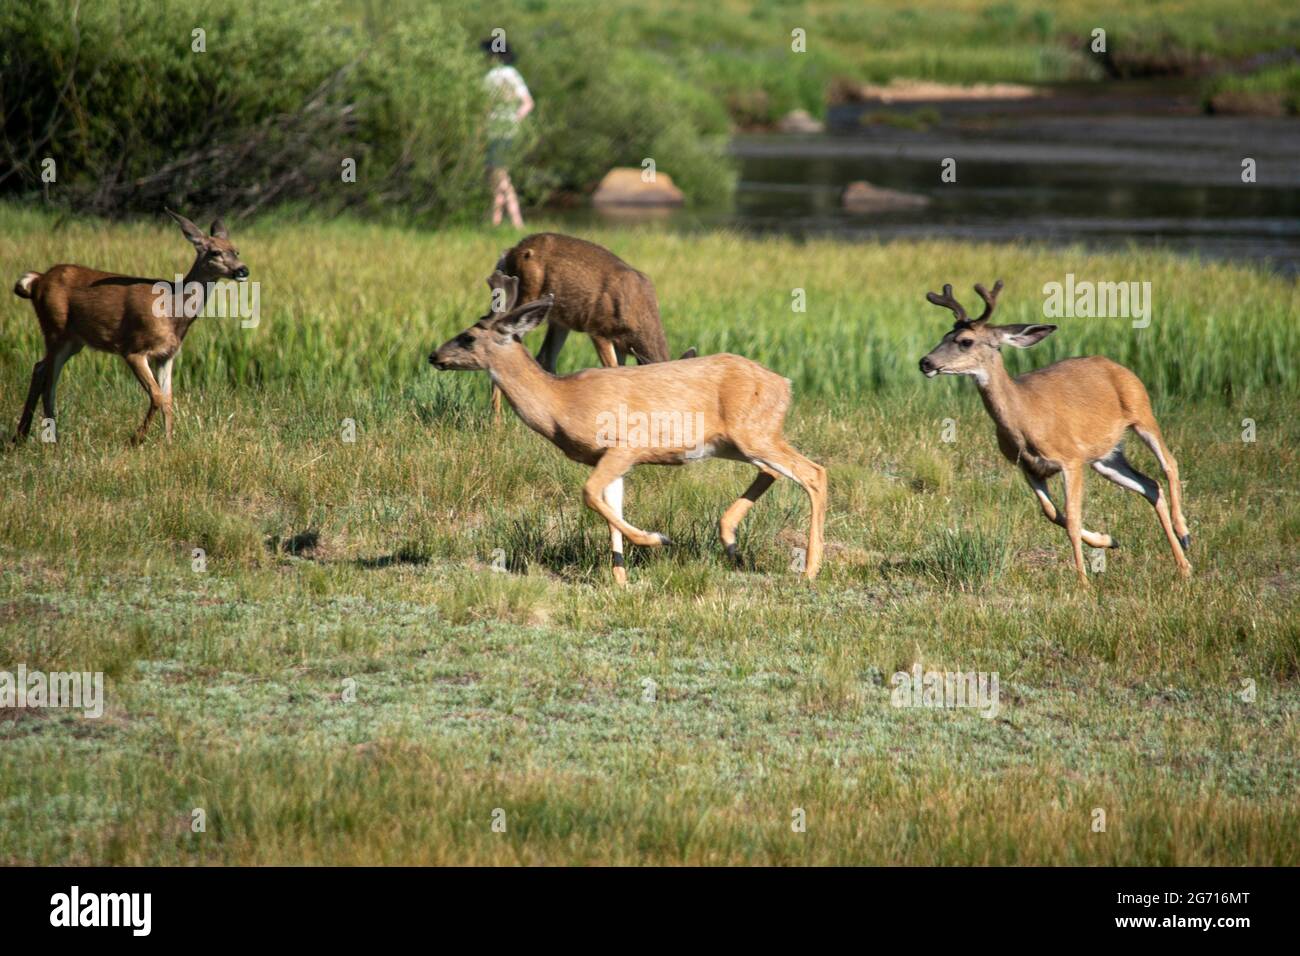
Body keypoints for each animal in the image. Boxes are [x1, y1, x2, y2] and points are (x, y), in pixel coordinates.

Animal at [10, 209, 248, 445]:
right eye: (215, 252)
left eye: (236, 250)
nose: (243, 270)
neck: (173, 311)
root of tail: (37, 280)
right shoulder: (134, 349)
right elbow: (157, 396)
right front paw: (136, 439)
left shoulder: (167, 355)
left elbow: (168, 400)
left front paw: (169, 443)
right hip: (55, 329)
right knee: (47, 380)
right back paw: (50, 439)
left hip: (73, 340)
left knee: (40, 369)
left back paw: (24, 435)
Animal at [430, 271, 827, 585]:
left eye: (467, 337)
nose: (434, 356)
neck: (561, 402)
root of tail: (785, 384)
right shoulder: (606, 457)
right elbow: (611, 509)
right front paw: (621, 579)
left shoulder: (625, 444)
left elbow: (589, 493)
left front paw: (658, 540)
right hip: (735, 442)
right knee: (774, 472)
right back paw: (731, 543)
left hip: (754, 433)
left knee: (814, 472)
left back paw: (809, 569)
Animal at [486, 233, 690, 418]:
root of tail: (509, 252)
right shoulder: (598, 329)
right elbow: (612, 369)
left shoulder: (621, 344)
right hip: (526, 297)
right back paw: (496, 420)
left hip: (559, 320)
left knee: (546, 358)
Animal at [918, 280, 1191, 584]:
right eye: (944, 335)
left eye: (966, 341)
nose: (925, 362)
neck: (1024, 419)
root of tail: (1118, 366)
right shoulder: (1028, 467)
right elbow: (1051, 513)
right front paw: (1107, 540)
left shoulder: (1071, 459)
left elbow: (1071, 518)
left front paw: (1083, 581)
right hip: (1105, 457)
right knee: (1150, 485)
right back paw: (1183, 565)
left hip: (1142, 413)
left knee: (1169, 463)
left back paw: (1185, 534)